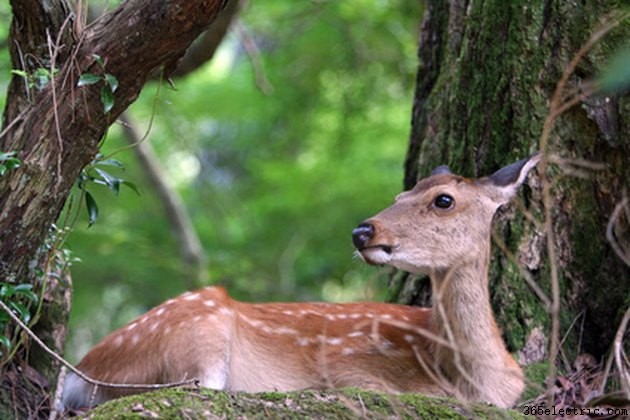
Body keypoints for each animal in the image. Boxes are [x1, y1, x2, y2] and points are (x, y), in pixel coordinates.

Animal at [61, 154, 540, 410]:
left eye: (443, 200)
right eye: (400, 195)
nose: (362, 232)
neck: (475, 379)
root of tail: (78, 371)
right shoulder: (355, 374)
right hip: (195, 333)